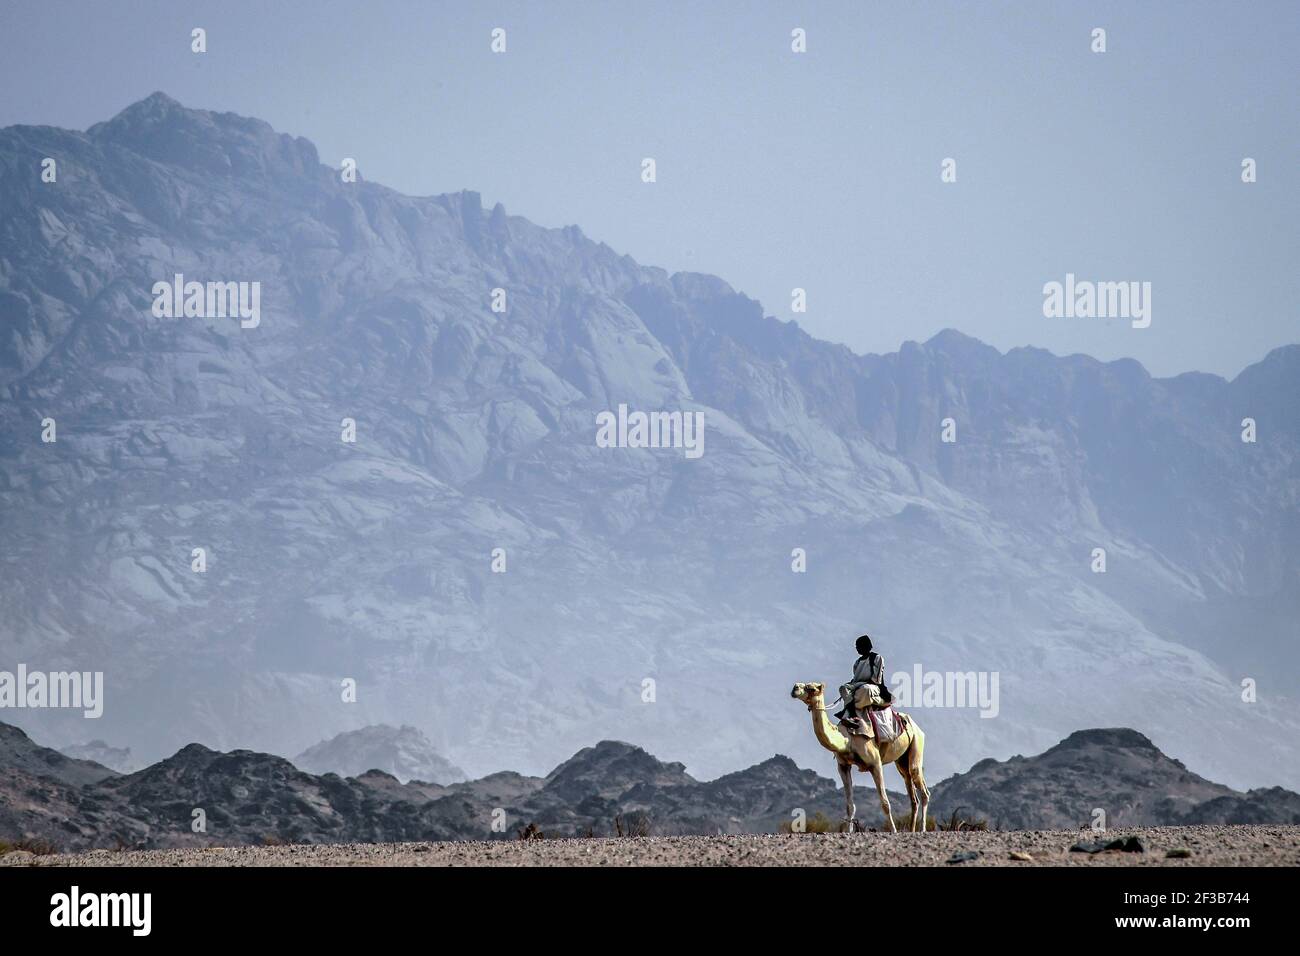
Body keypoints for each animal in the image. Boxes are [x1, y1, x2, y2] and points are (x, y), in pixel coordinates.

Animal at [790, 682, 930, 832]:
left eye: (811, 688)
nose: (795, 688)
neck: (846, 740)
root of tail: (914, 725)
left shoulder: (875, 763)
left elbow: (885, 803)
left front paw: (893, 830)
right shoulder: (843, 766)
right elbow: (850, 805)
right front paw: (848, 831)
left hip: (917, 743)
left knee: (921, 786)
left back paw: (922, 829)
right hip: (901, 761)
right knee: (911, 792)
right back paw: (912, 829)